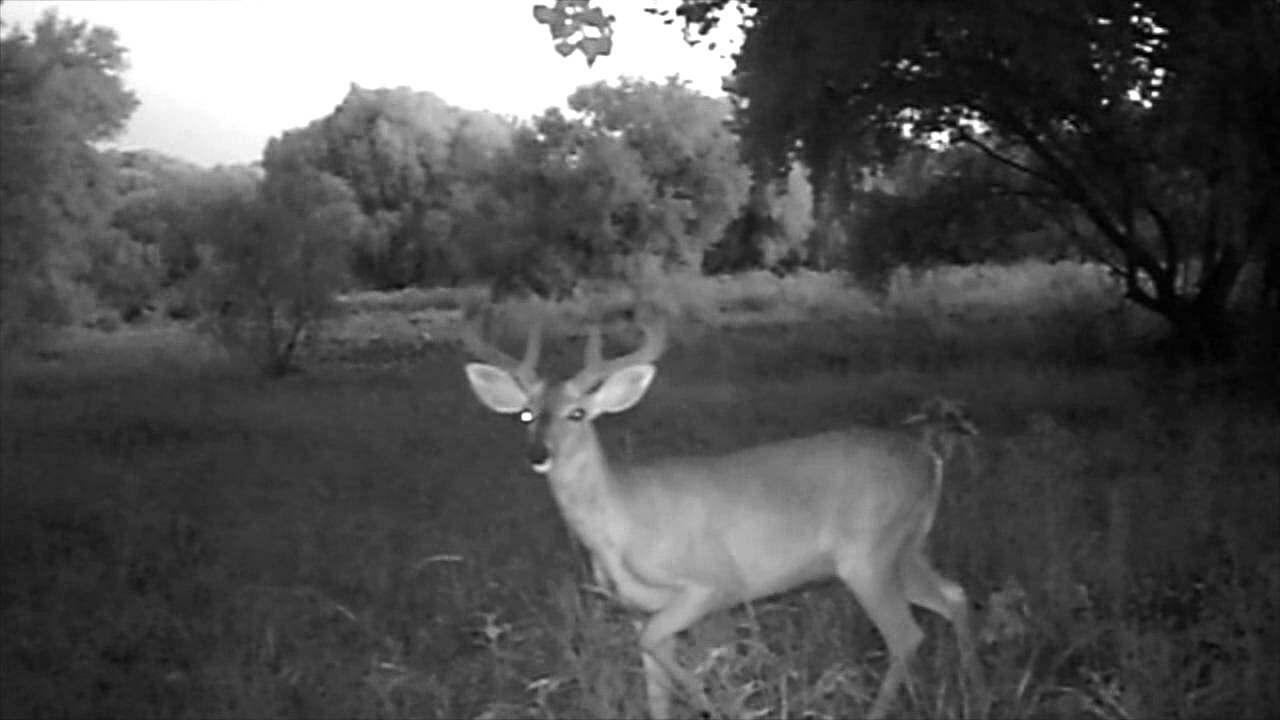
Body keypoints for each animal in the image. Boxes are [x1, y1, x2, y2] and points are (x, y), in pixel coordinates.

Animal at [460, 302, 980, 719]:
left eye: (578, 413)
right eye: (527, 414)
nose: (538, 454)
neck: (621, 527)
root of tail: (928, 456)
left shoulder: (714, 583)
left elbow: (665, 648)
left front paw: (719, 701)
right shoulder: (639, 608)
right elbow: (654, 685)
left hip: (868, 553)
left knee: (906, 634)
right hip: (905, 547)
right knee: (954, 595)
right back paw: (971, 685)